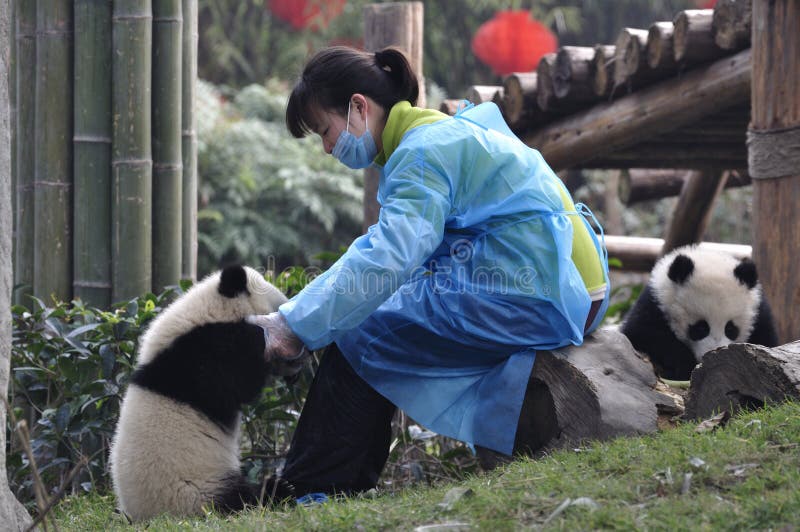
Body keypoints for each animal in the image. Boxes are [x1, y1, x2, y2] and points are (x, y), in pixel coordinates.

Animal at [109, 265, 296, 522]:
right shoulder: (201, 355)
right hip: (196, 489)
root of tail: (139, 516)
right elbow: (239, 384)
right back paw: (276, 489)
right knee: (237, 499)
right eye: (279, 306)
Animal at [620, 245, 779, 381]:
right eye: (701, 327)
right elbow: (643, 333)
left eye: (730, 329)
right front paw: (684, 366)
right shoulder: (655, 303)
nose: (712, 355)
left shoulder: (759, 314)